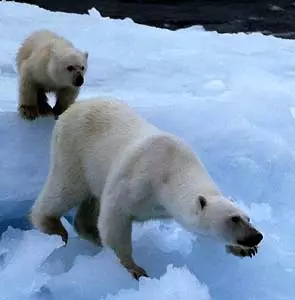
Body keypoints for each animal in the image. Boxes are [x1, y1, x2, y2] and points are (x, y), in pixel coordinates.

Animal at [30, 98, 264, 278]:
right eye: (233, 219)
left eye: (247, 217)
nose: (257, 236)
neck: (171, 168)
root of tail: (74, 107)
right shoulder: (136, 179)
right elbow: (115, 218)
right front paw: (135, 268)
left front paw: (244, 250)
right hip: (73, 152)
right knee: (64, 190)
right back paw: (55, 228)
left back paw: (91, 235)